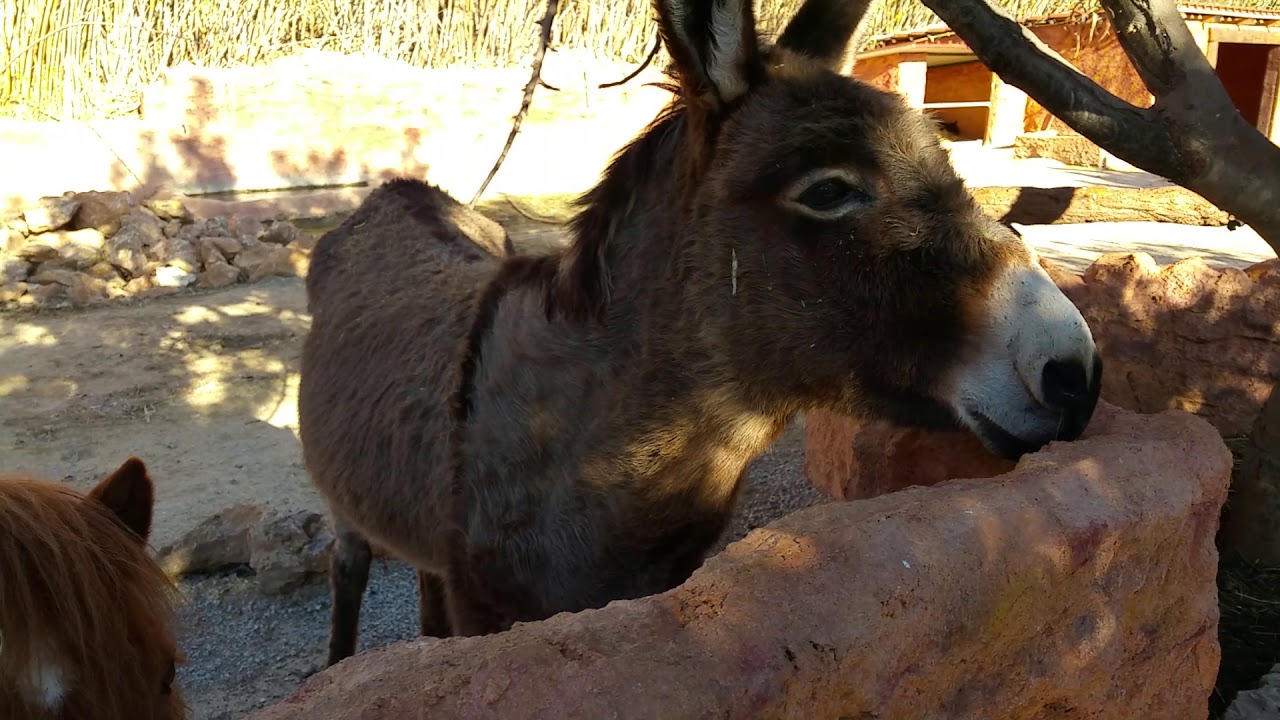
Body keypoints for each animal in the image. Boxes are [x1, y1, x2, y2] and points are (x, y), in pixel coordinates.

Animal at [298, 0, 1103, 666]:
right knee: (349, 566)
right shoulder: (490, 607)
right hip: (345, 506)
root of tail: (396, 191)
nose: (1075, 375)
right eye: (829, 191)